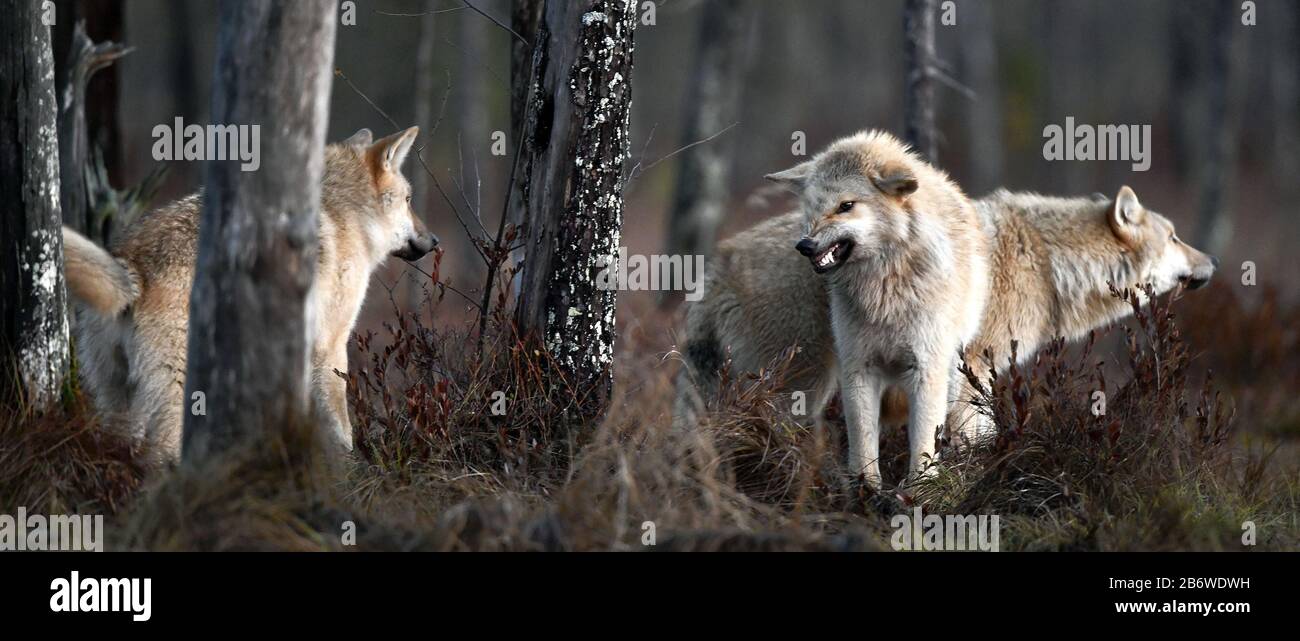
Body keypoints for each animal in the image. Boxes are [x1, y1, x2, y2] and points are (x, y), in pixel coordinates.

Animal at [62, 127, 437, 462]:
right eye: (408, 200)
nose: (434, 240)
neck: (349, 212)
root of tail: (133, 263)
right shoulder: (330, 344)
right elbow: (341, 427)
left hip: (118, 397)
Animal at [677, 170, 1217, 486]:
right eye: (1174, 237)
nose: (1212, 261)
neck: (1047, 262)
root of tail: (717, 263)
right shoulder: (972, 366)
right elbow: (974, 435)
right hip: (808, 382)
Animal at [679, 131, 991, 488]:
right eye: (811, 208)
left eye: (846, 206)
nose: (805, 245)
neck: (885, 283)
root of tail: (718, 264)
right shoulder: (858, 365)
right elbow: (863, 439)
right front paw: (866, 488)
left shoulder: (927, 368)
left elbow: (923, 444)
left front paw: (918, 489)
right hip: (803, 384)